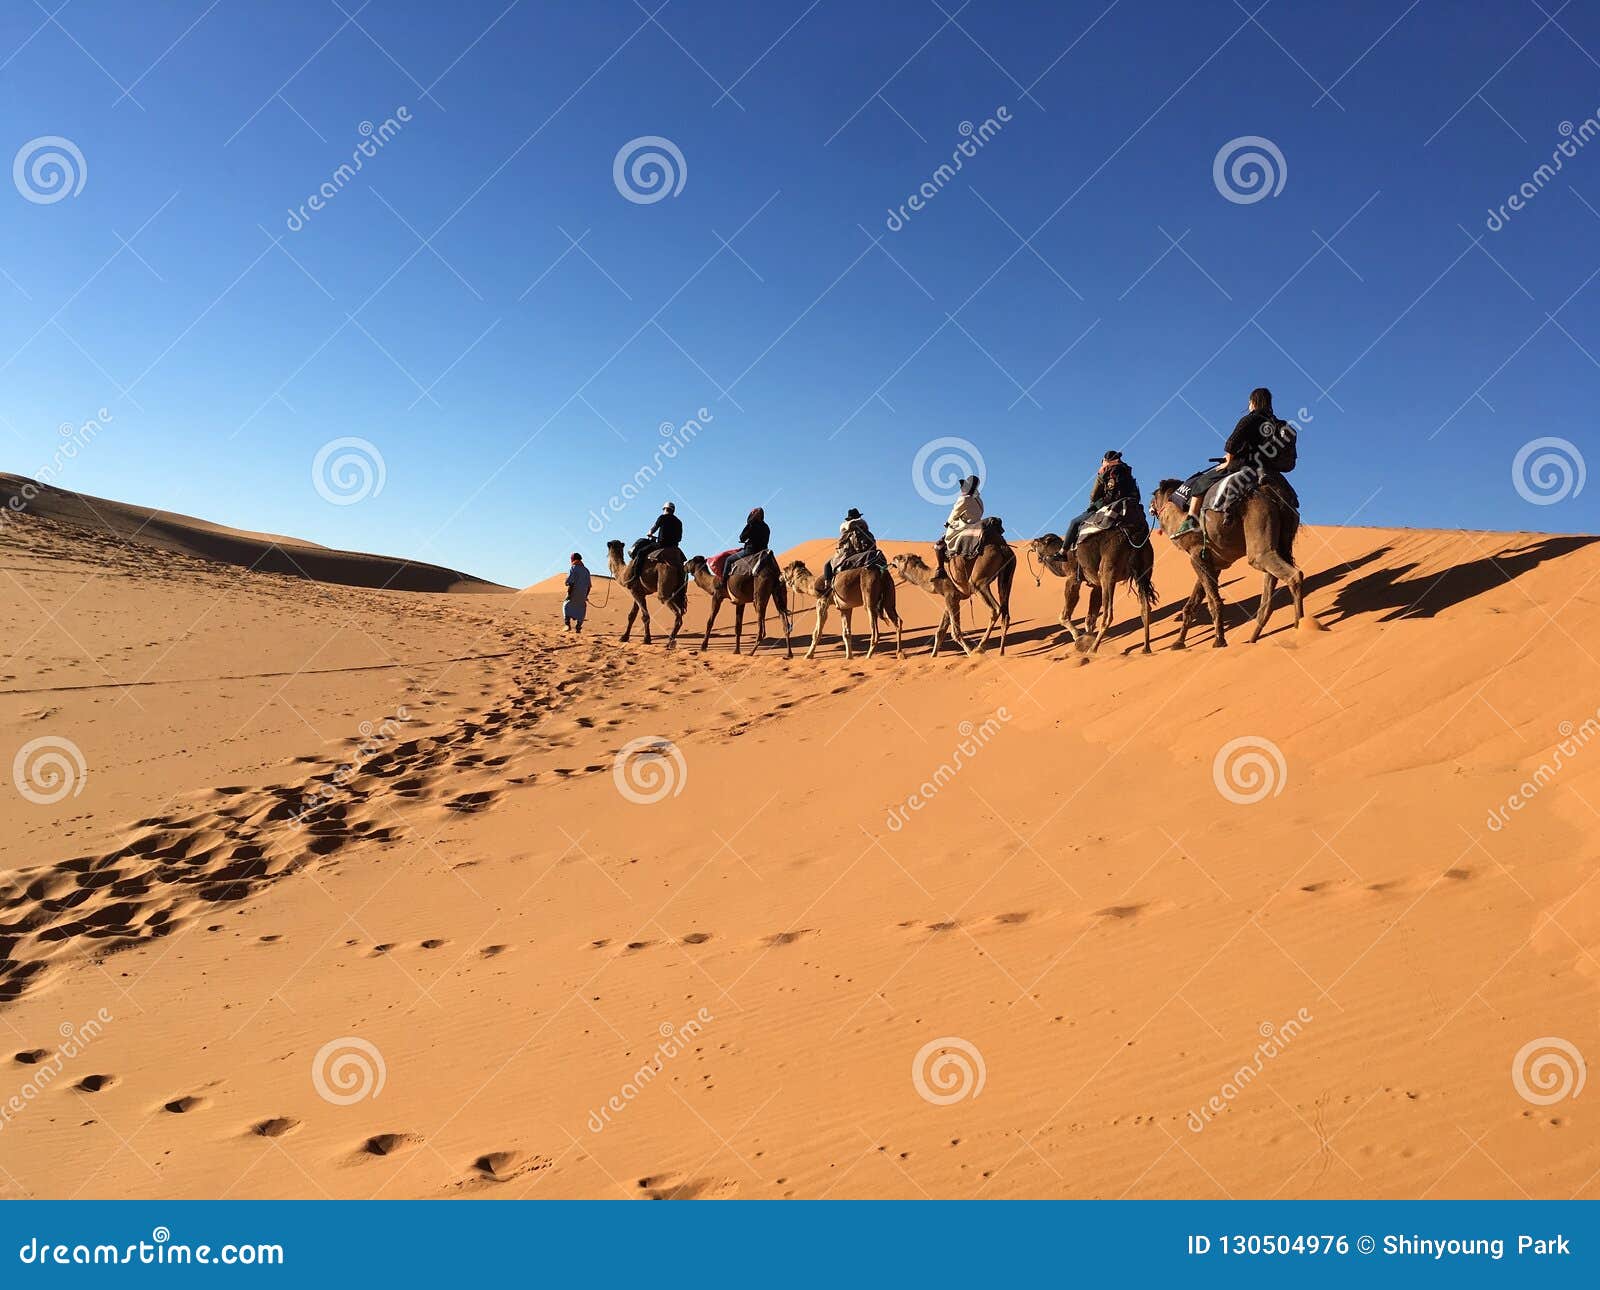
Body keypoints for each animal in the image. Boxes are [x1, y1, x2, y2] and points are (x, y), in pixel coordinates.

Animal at [1029, 525, 1156, 654]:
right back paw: (1146, 648)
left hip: (1108, 573)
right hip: (1143, 572)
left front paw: (1078, 636)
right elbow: (1090, 618)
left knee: (1108, 615)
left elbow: (1064, 616)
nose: (1032, 542)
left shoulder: (1073, 577)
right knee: (1145, 607)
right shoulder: (1096, 585)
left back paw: (1092, 649)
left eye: (1038, 542)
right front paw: (1086, 638)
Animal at [1148, 476, 1304, 648]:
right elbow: (1193, 603)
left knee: (1292, 575)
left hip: (1259, 531)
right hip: (1280, 539)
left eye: (1154, 494)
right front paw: (1178, 642)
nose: (1150, 506)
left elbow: (1213, 601)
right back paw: (1253, 639)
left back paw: (1300, 628)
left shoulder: (1196, 554)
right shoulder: (1212, 562)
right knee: (1270, 586)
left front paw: (1219, 641)